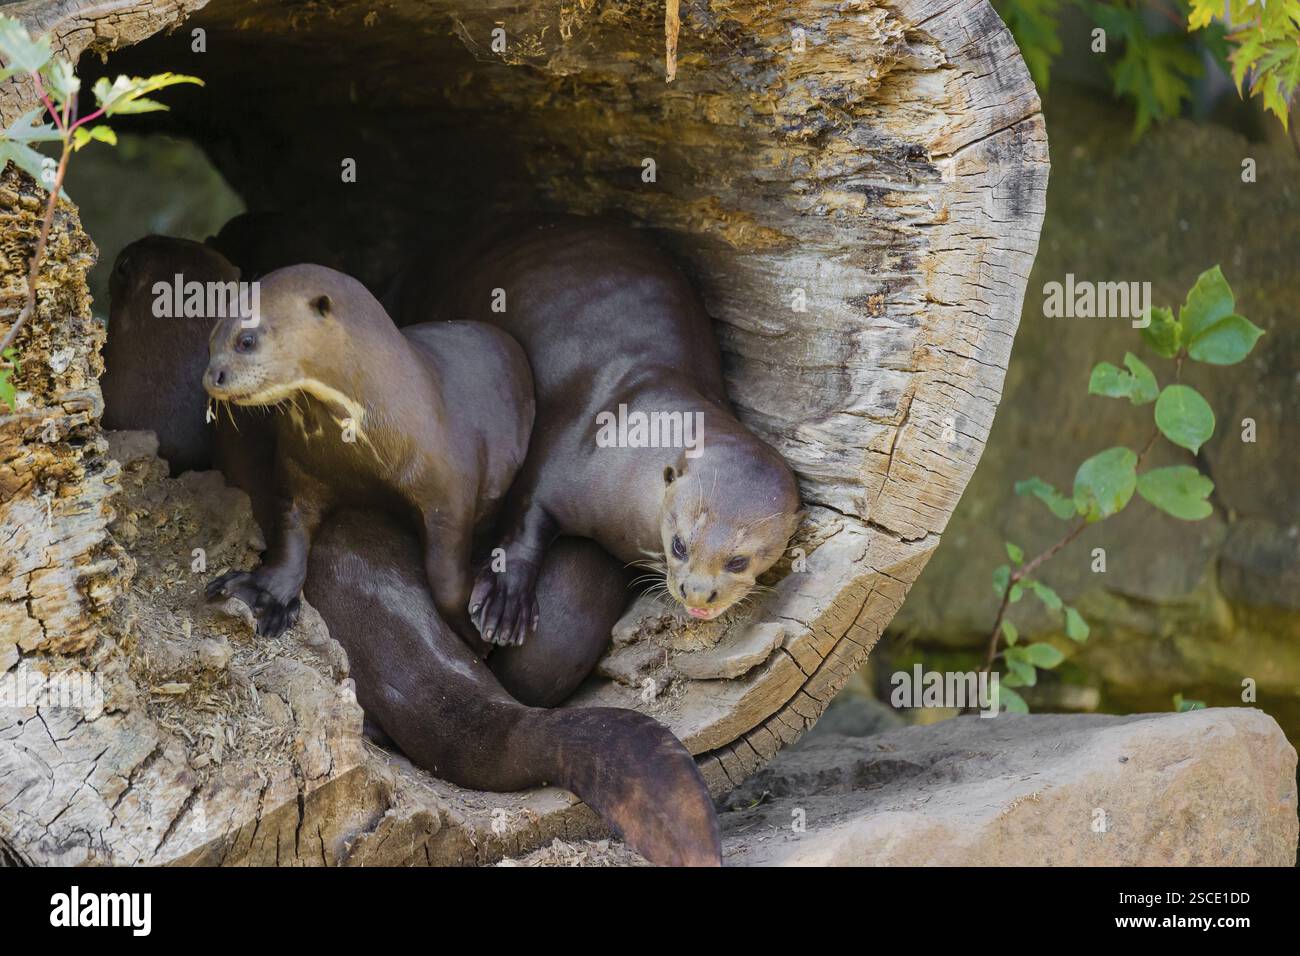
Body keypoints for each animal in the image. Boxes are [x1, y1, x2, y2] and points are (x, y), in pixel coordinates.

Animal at [389, 215, 802, 648]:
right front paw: (505, 601)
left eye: (738, 560)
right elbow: (523, 523)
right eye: (679, 545)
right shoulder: (558, 458)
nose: (698, 593)